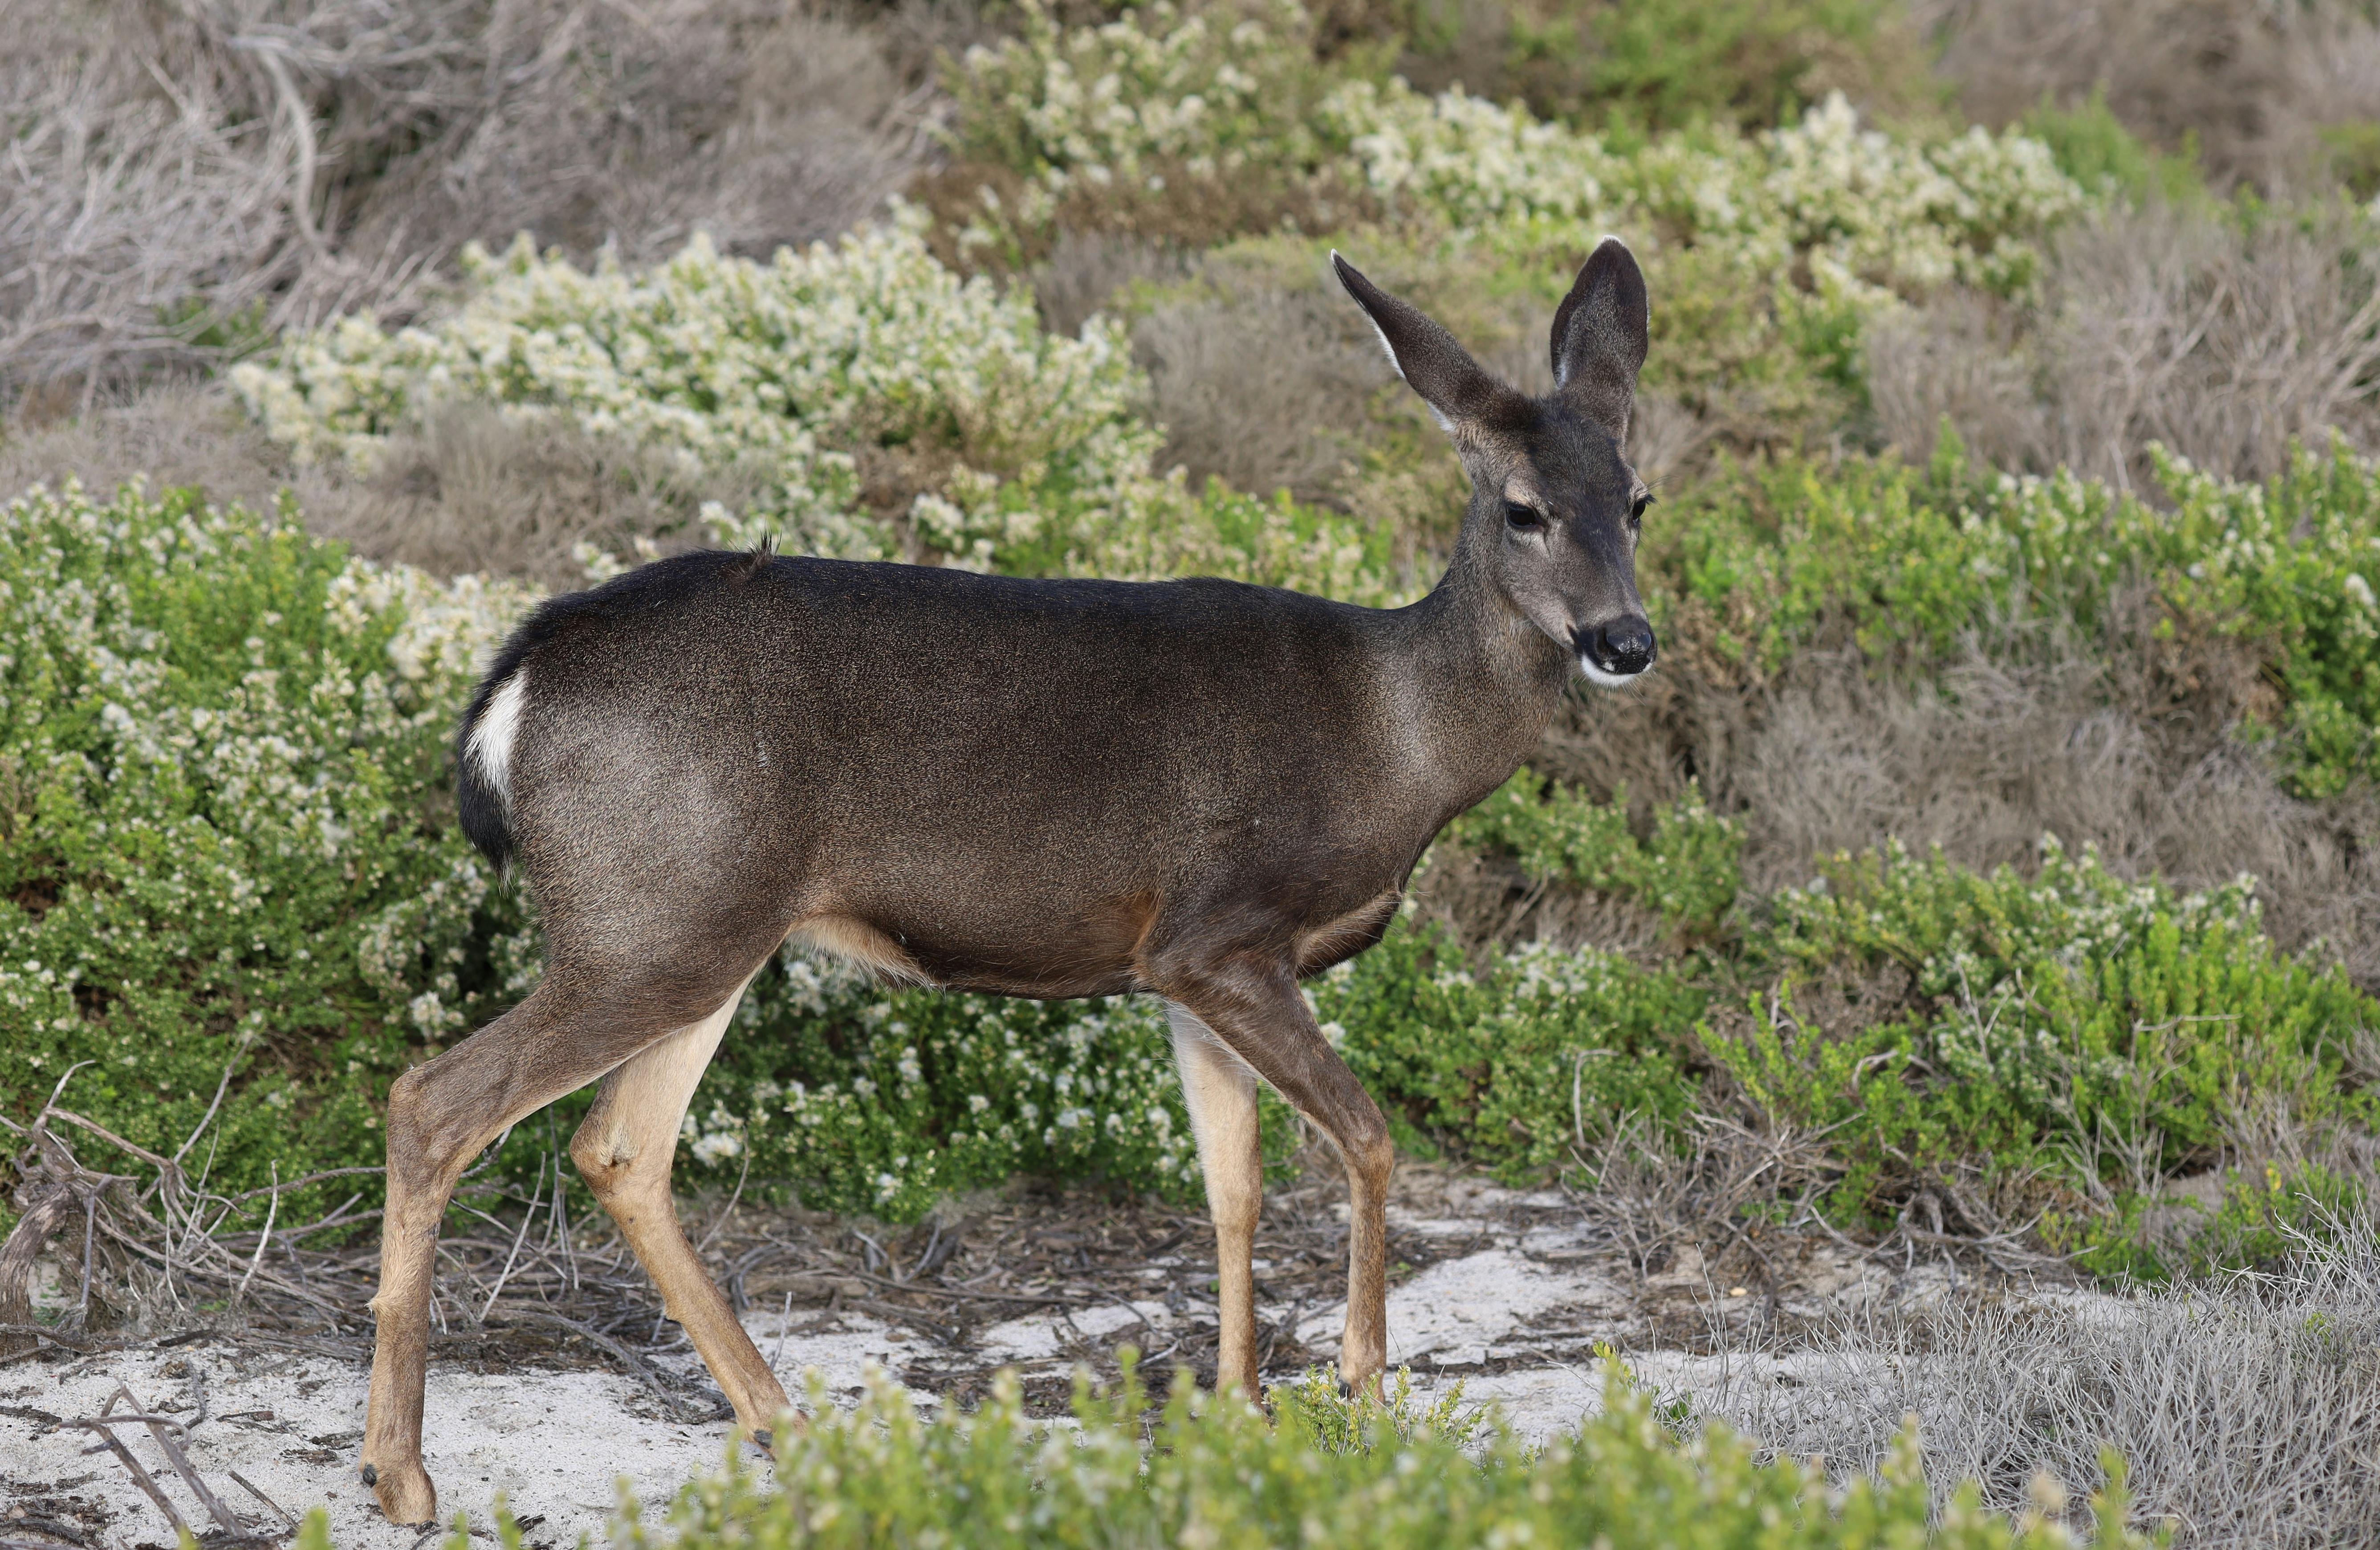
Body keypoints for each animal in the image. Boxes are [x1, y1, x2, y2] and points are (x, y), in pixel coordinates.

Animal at [357, 239, 1656, 1523]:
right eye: (1524, 509)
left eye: (1638, 502)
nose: (1625, 641)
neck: (1392, 736)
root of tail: (515, 682)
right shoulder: (1220, 933)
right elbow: (1369, 1141)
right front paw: (1365, 1397)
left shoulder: (1184, 980)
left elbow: (1231, 1187)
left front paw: (1237, 1419)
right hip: (650, 923)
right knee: (436, 1103)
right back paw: (405, 1475)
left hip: (702, 926)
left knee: (619, 1149)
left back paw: (786, 1428)